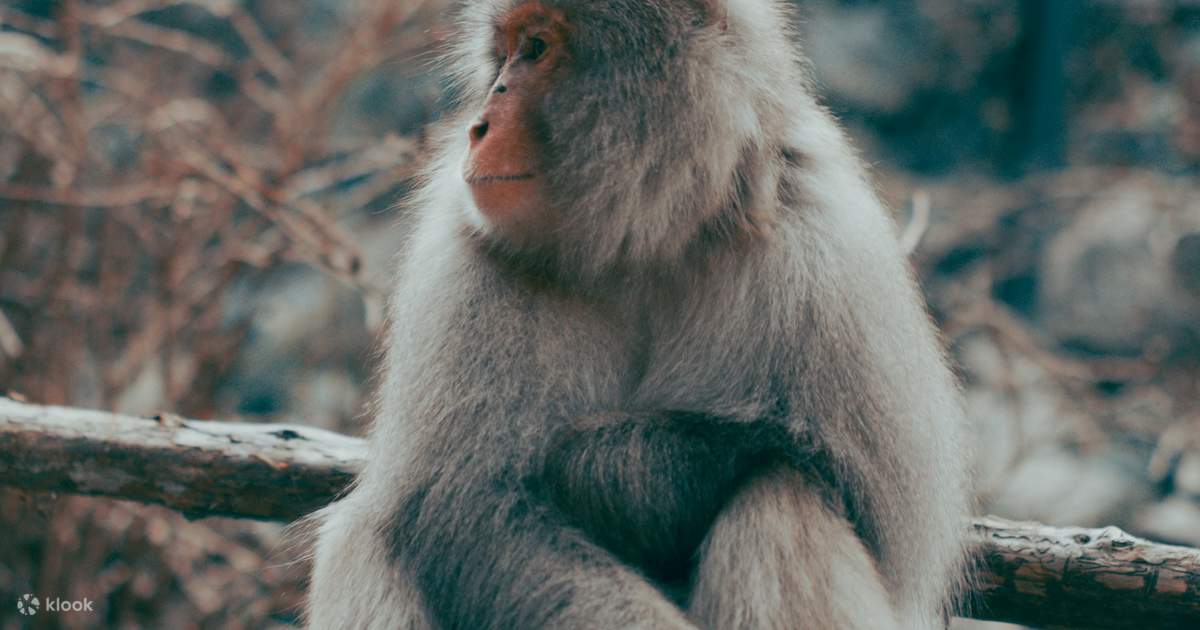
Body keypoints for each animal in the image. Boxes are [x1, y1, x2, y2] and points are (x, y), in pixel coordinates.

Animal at [307, 0, 971, 628]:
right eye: (504, 56)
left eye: (536, 48)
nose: (478, 125)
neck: (644, 238)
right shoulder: (466, 257)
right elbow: (471, 514)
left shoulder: (828, 254)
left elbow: (857, 501)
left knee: (783, 489)